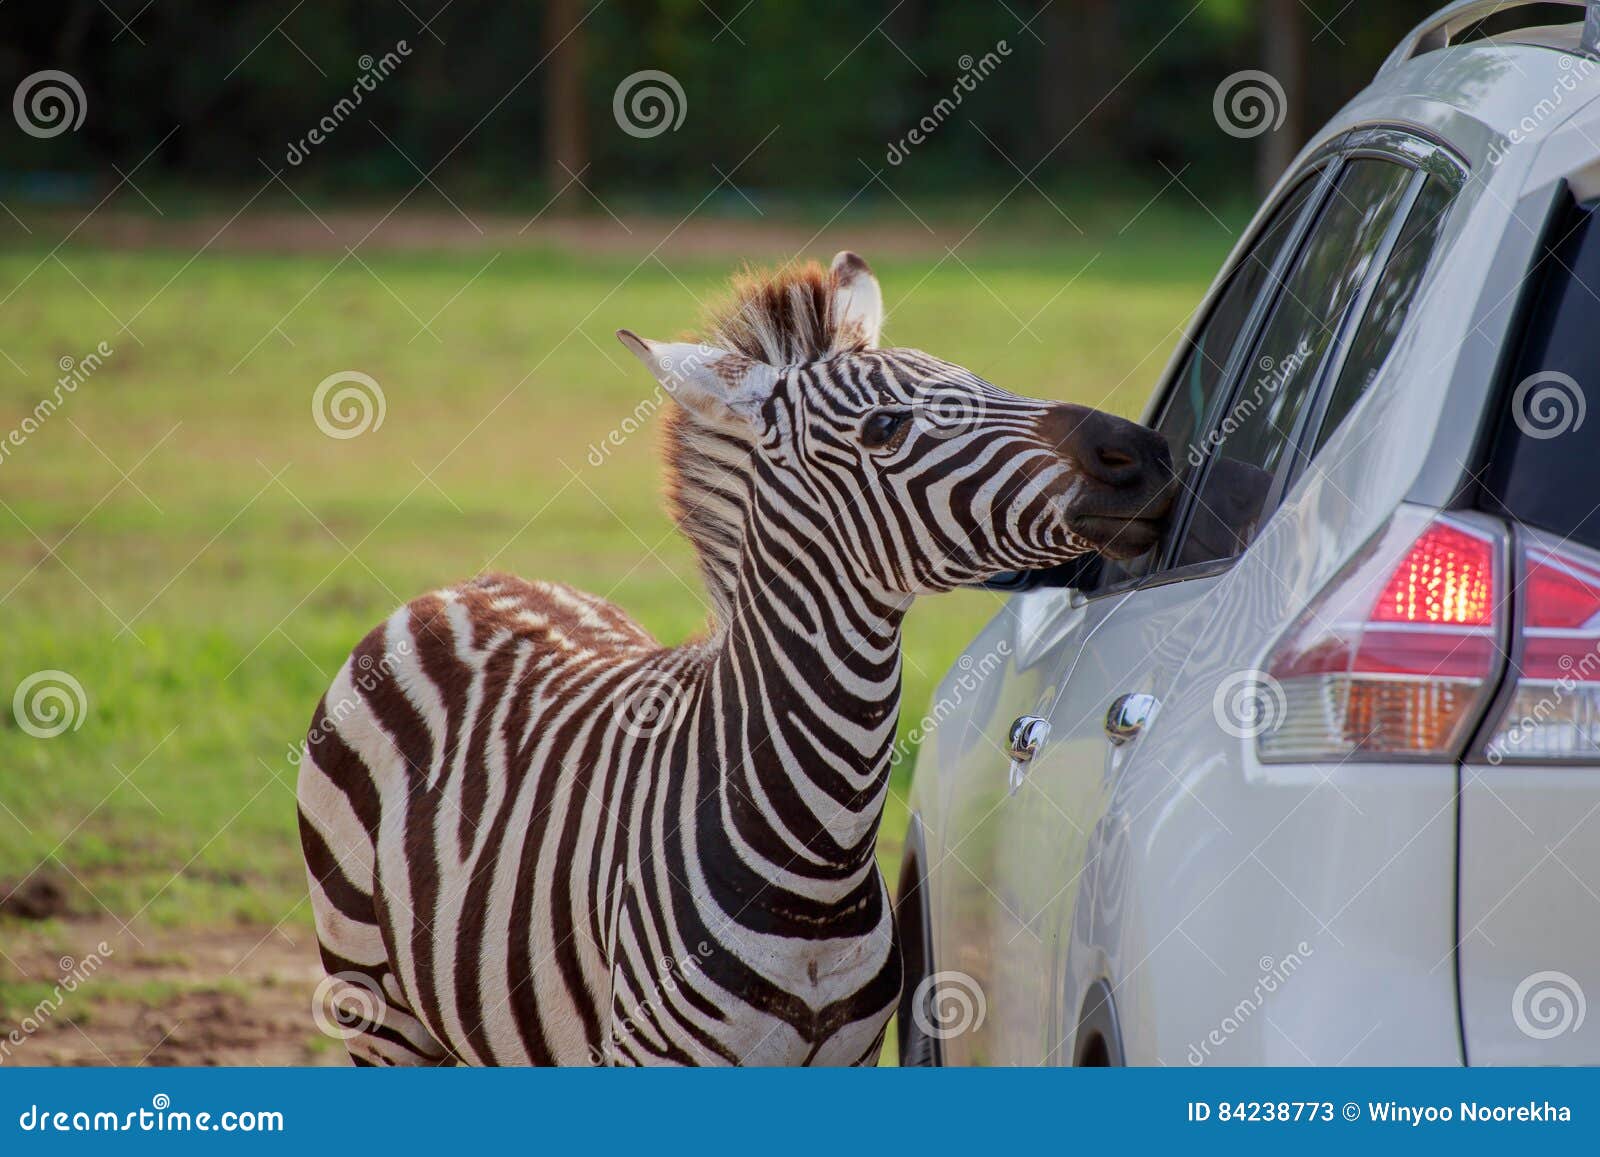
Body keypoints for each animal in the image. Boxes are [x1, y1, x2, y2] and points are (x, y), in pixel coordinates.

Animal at [296, 251, 1175, 1066]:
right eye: (886, 428)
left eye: (980, 379)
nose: (1144, 453)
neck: (817, 865)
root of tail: (465, 587)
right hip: (375, 996)